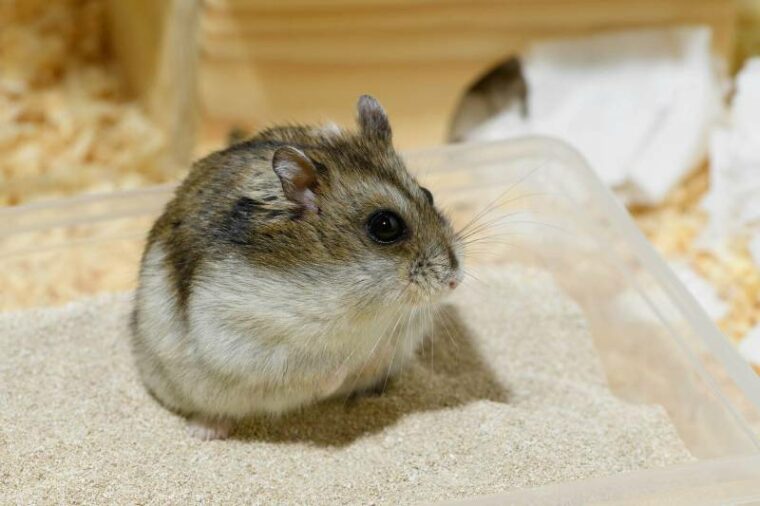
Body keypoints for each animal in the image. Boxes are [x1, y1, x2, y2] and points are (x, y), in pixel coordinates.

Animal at [130, 96, 463, 440]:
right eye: (385, 226)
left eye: (428, 194)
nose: (454, 280)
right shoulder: (242, 334)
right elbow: (319, 371)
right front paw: (344, 372)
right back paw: (206, 430)